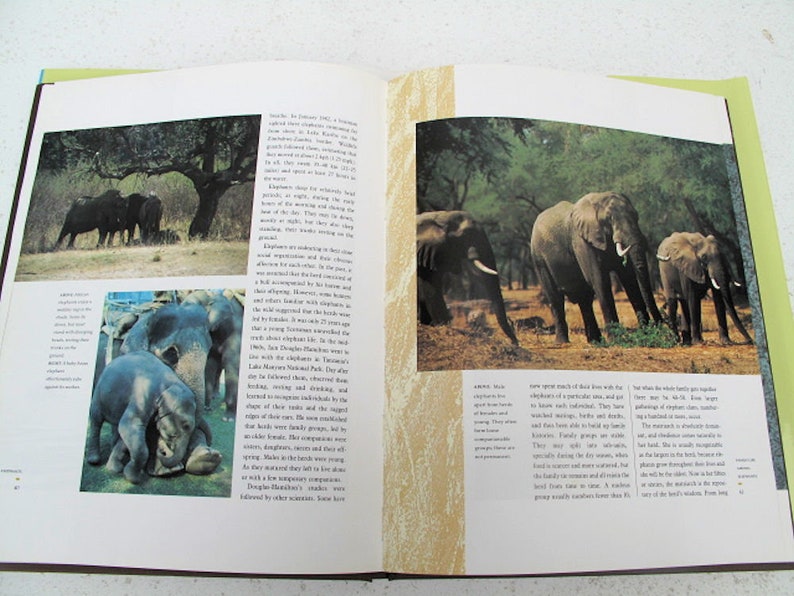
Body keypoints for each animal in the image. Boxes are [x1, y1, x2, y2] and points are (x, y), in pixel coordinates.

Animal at [85, 351, 199, 484]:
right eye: (185, 426)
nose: (162, 451)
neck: (170, 383)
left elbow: (126, 432)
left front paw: (115, 470)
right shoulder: (144, 395)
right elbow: (128, 425)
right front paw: (134, 478)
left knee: (116, 425)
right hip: (98, 394)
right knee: (96, 421)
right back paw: (94, 460)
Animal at [530, 191, 662, 343]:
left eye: (636, 216)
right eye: (609, 219)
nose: (659, 327)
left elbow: (629, 279)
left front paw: (645, 335)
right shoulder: (582, 241)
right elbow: (600, 281)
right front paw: (617, 340)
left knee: (585, 299)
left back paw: (595, 341)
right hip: (539, 260)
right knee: (555, 298)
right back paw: (562, 342)